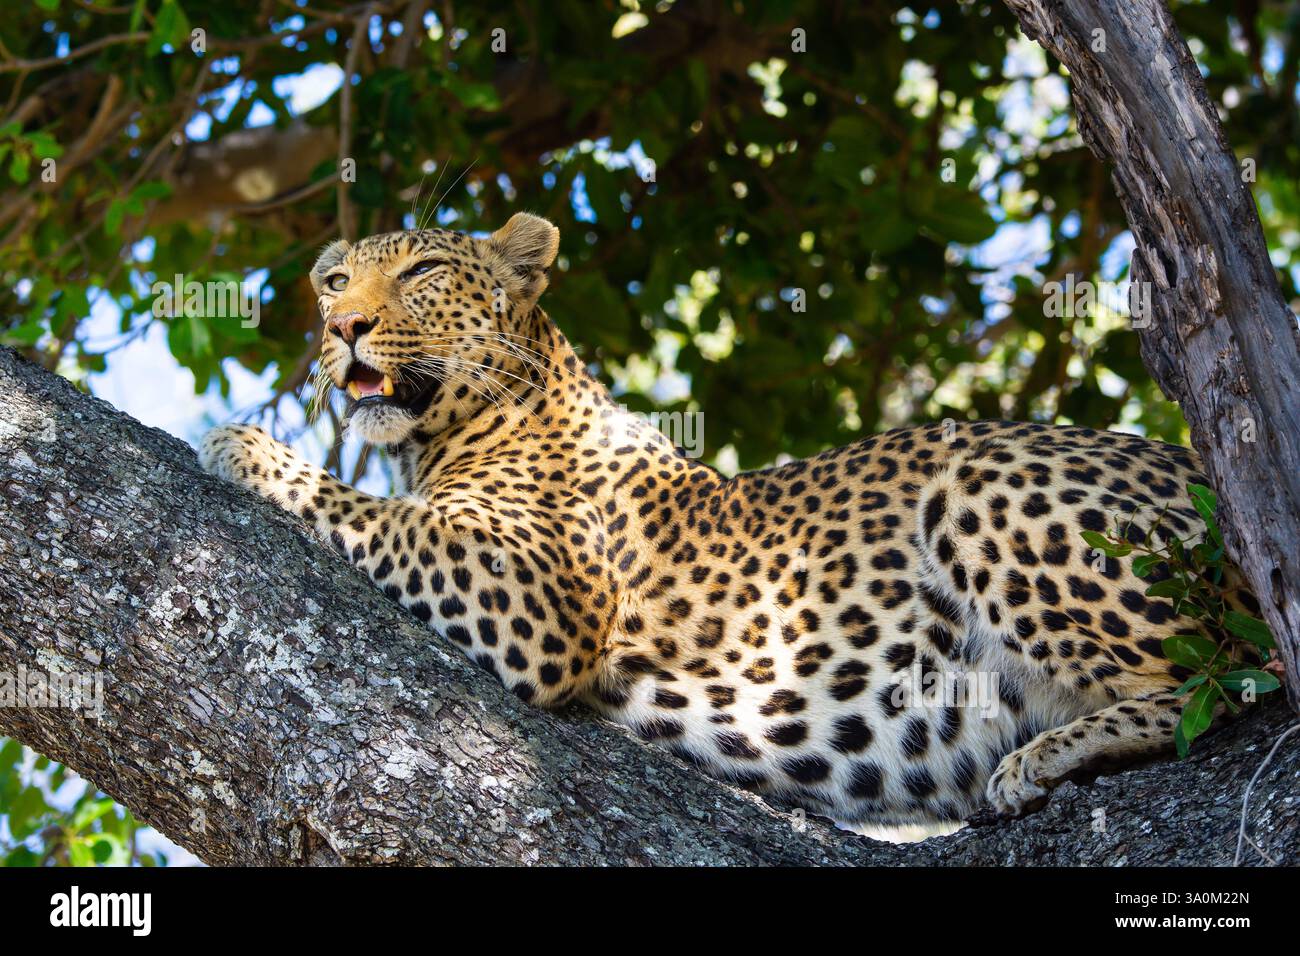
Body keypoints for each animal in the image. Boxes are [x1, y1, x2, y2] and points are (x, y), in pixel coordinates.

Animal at [201, 212, 1261, 826]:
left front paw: (244, 448)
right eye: (336, 283)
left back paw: (1042, 758)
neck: (443, 434)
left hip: (986, 483)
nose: (342, 328)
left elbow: (380, 516)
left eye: (422, 269)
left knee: (1228, 675)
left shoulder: (542, 597)